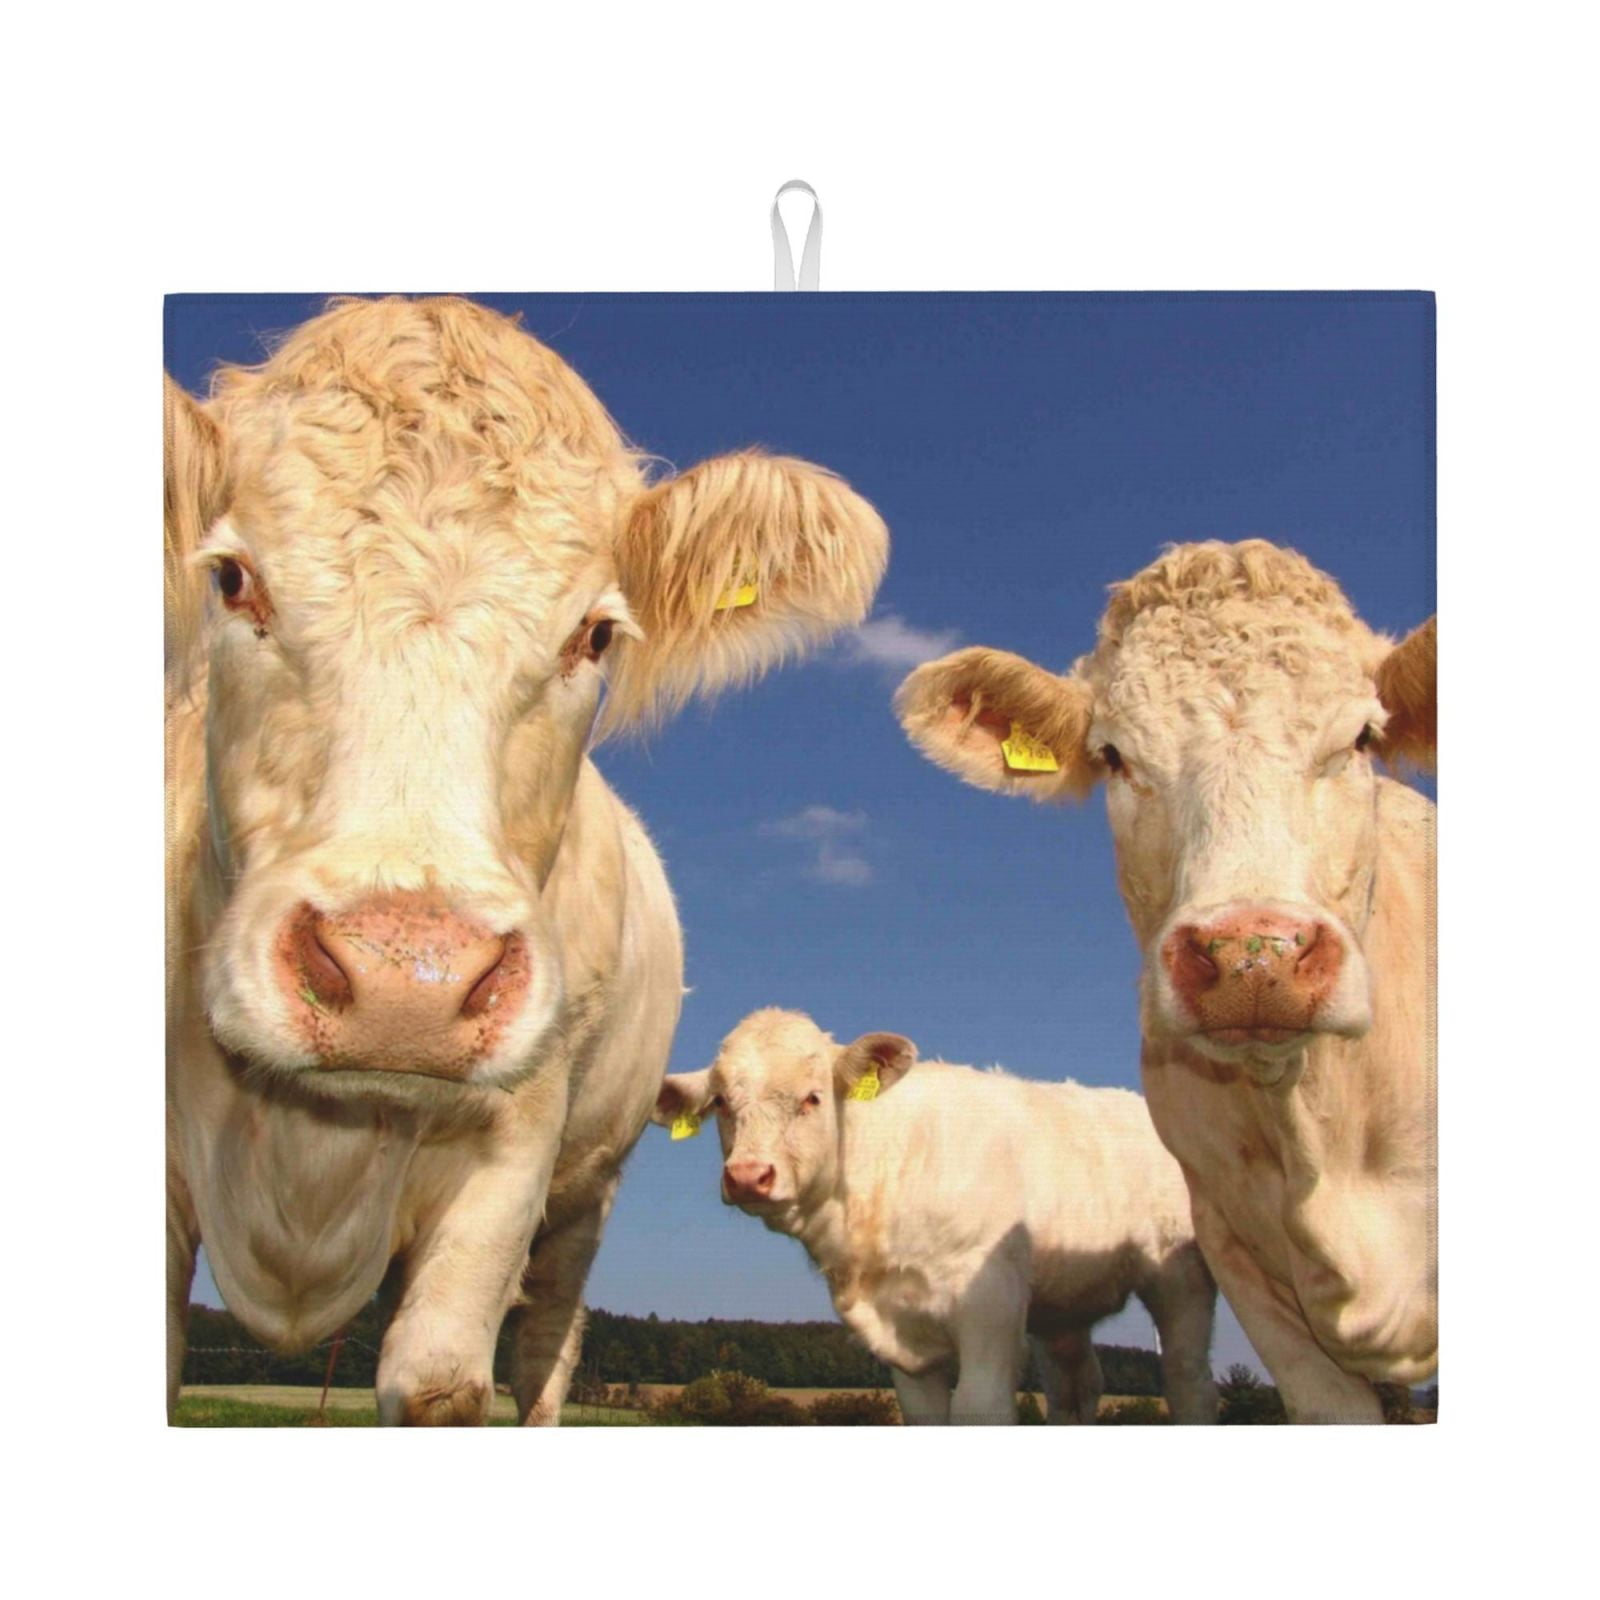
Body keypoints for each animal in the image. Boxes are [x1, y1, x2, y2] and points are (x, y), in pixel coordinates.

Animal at [164, 296, 888, 1424]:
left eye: (594, 634)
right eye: (234, 578)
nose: (404, 983)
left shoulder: (513, 1158)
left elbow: (441, 1386)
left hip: (584, 1194)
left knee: (547, 1343)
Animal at [653, 1008, 1219, 1423]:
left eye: (812, 1097)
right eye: (721, 1103)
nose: (748, 1175)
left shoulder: (990, 1304)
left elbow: (980, 1407)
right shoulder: (903, 1343)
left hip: (1181, 1276)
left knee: (1187, 1378)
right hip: (1062, 1306)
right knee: (1075, 1389)